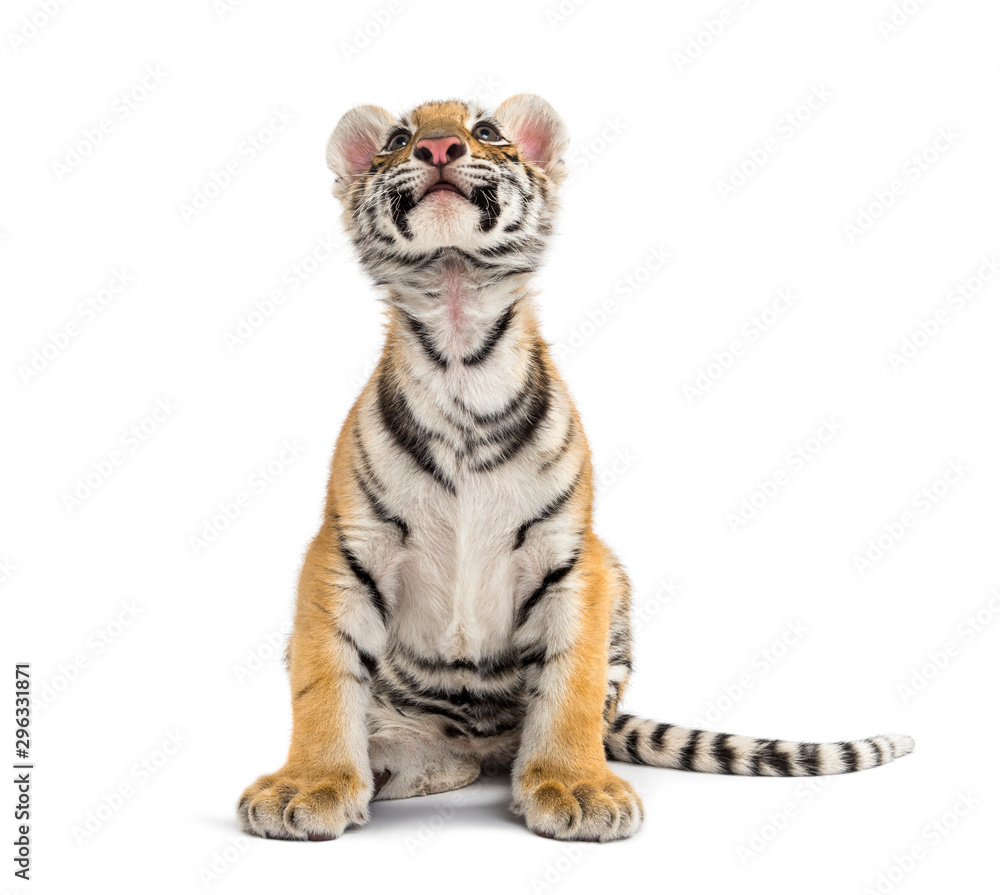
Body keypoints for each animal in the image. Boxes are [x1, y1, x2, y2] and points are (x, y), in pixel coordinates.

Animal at [237, 94, 914, 843]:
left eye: (486, 131)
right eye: (396, 139)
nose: (439, 148)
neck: (458, 327)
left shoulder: (571, 557)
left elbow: (571, 685)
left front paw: (577, 787)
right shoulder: (345, 550)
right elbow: (324, 681)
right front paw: (310, 785)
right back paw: (393, 763)